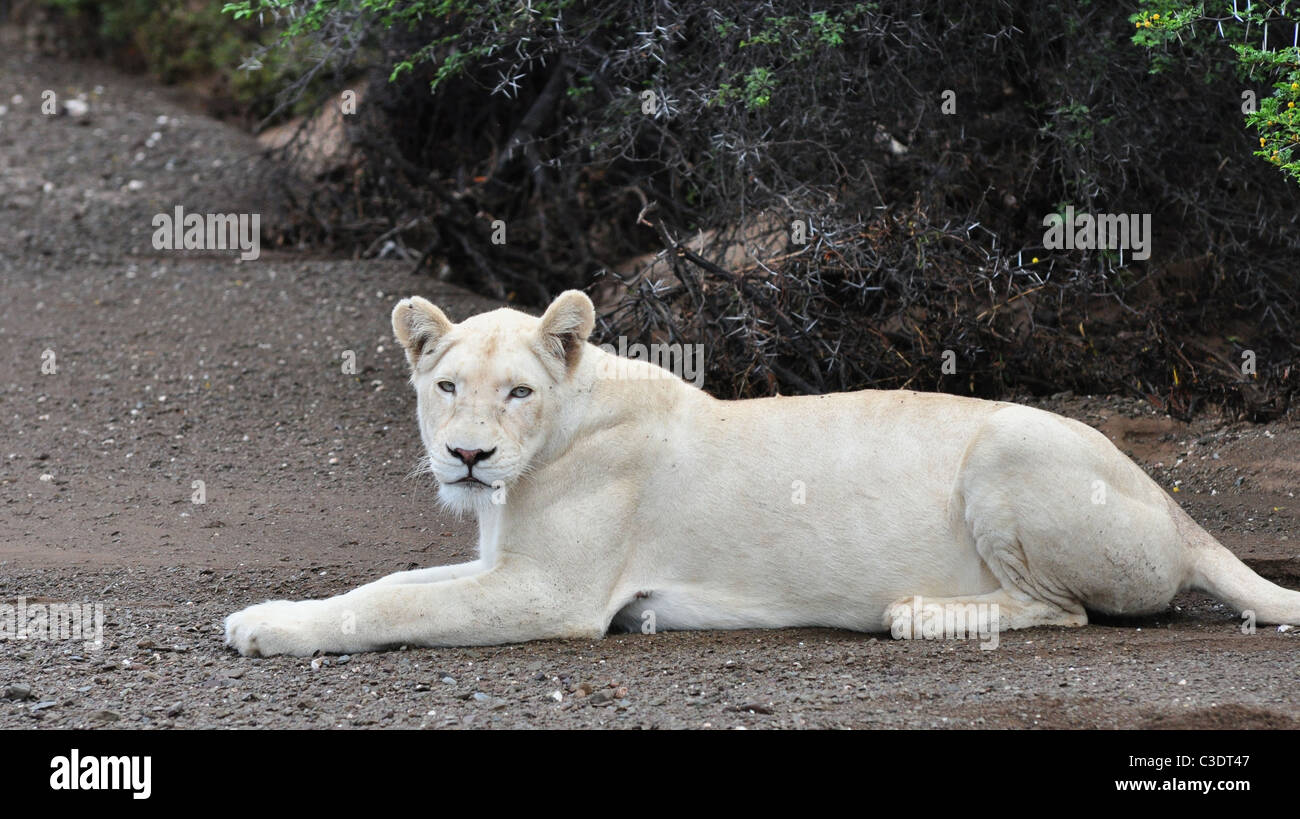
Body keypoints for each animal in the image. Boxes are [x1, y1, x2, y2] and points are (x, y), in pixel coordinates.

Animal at [224, 290, 1300, 656]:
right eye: (445, 386)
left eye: (517, 392)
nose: (467, 456)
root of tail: (1179, 507)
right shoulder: (505, 563)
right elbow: (396, 579)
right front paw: (267, 613)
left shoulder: (553, 592)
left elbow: (394, 603)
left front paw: (268, 631)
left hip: (1005, 449)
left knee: (1065, 611)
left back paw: (919, 614)